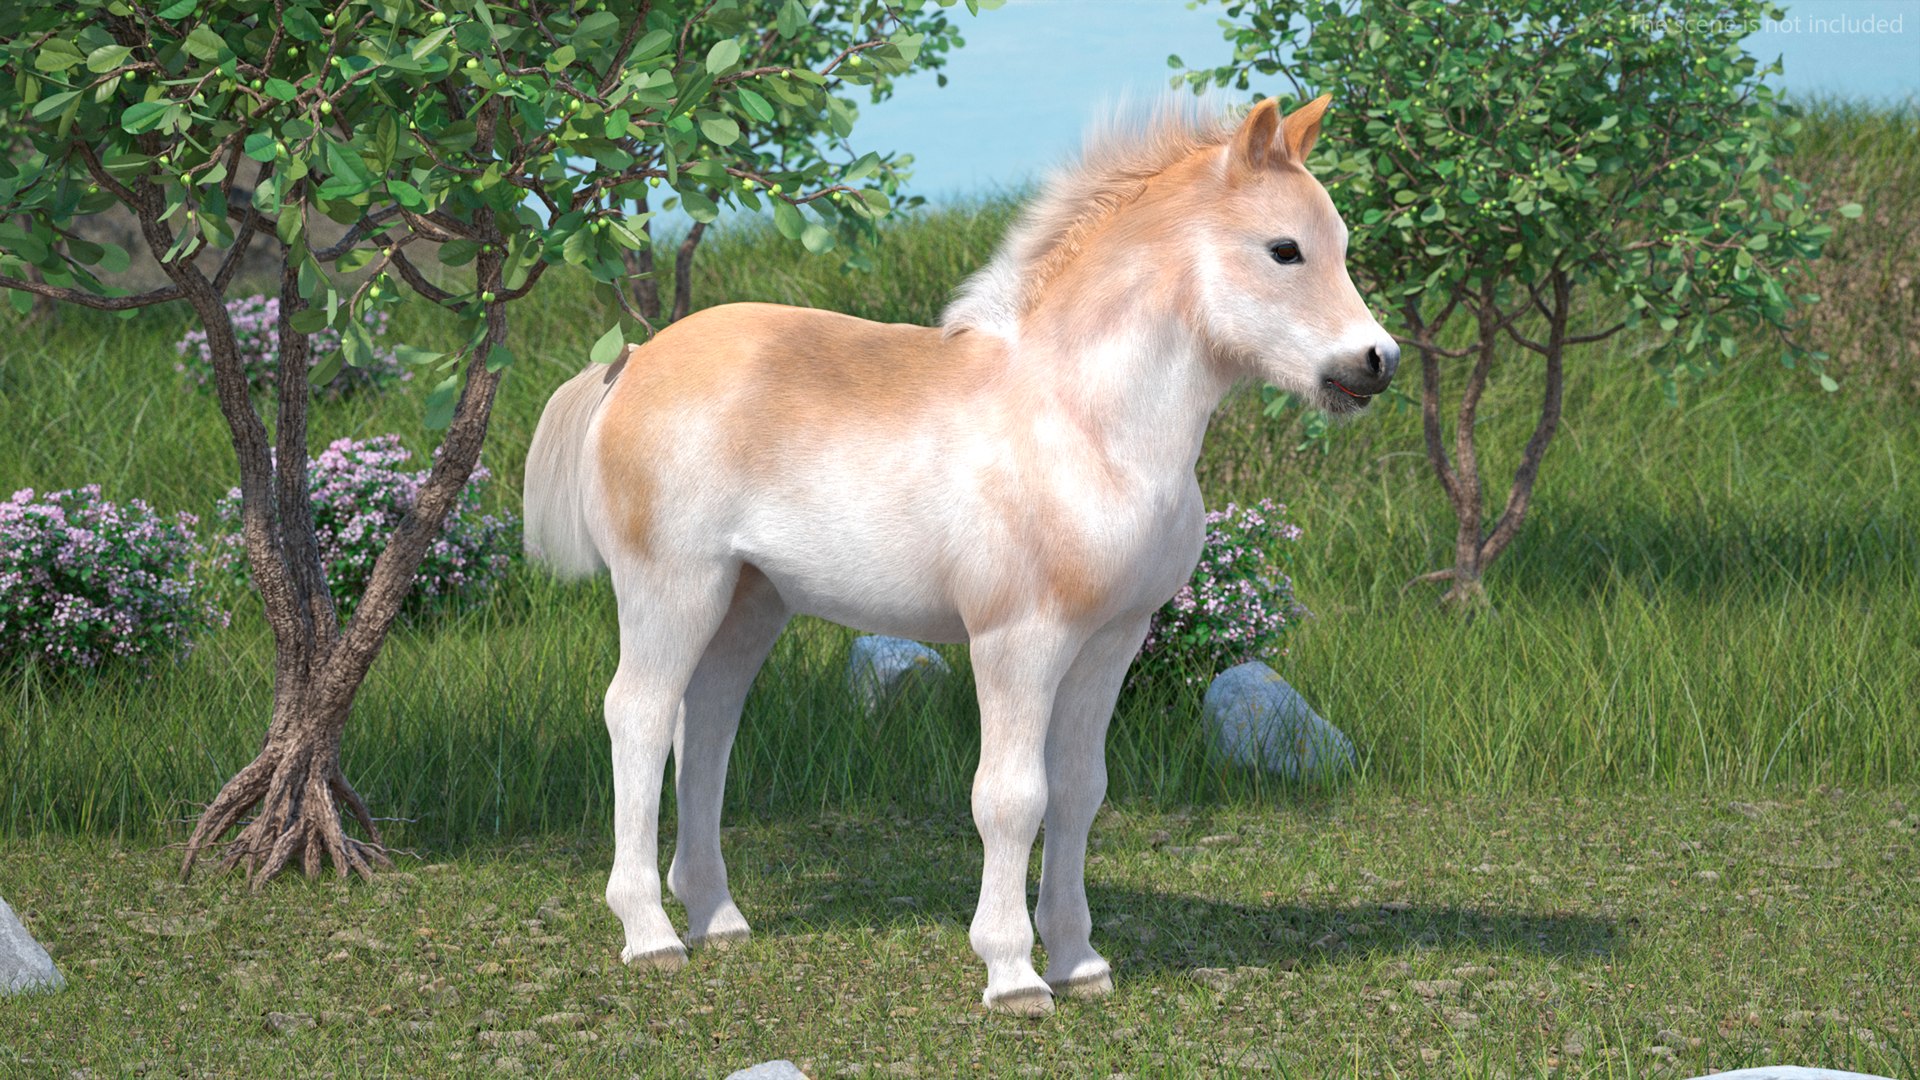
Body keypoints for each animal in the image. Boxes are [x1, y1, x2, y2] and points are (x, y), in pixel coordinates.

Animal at [523, 93, 1399, 1016]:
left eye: (1339, 242)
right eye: (1284, 248)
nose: (1376, 362)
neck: (1085, 421)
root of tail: (631, 362)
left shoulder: (1112, 640)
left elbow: (1079, 790)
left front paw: (1081, 963)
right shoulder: (1018, 639)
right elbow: (1011, 797)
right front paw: (1013, 974)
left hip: (749, 601)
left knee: (709, 723)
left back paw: (718, 917)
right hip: (671, 587)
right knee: (639, 715)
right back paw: (650, 934)